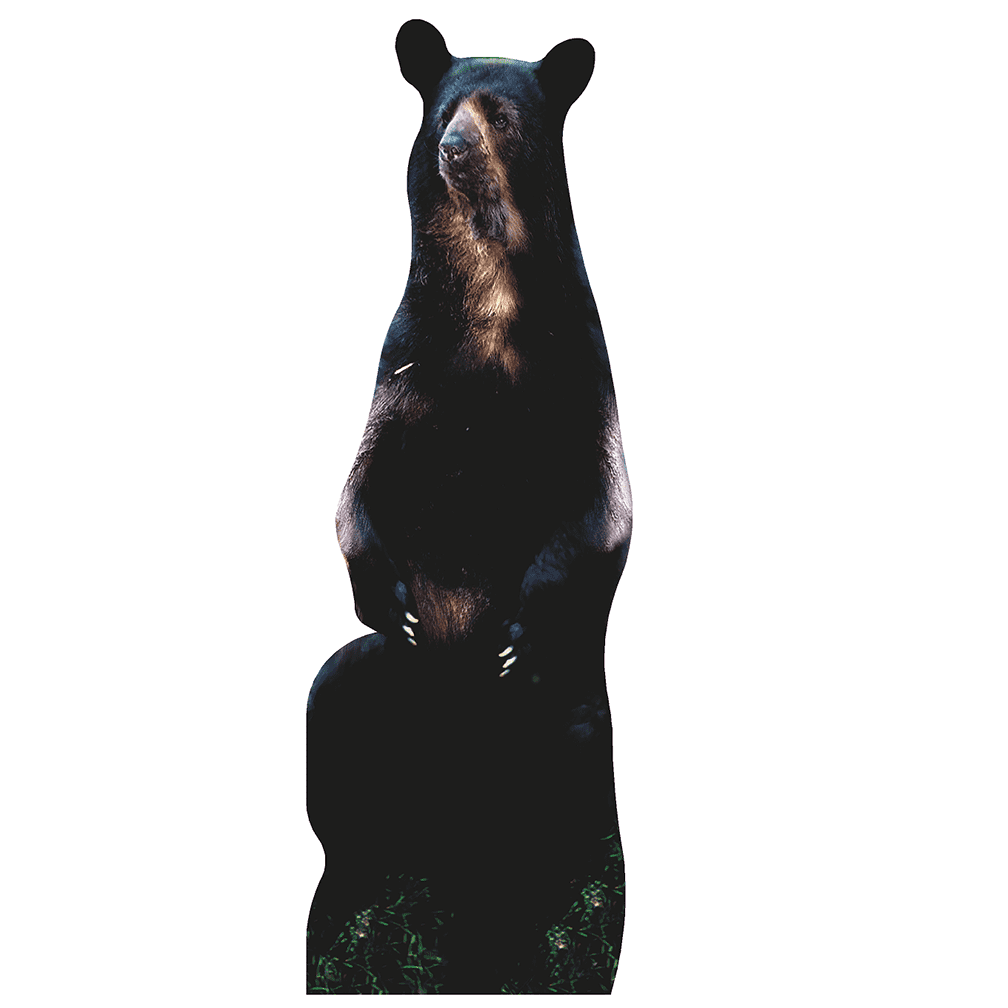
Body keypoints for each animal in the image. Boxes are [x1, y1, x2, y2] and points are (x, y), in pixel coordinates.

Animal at [307, 20, 632, 993]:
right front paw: (401, 603)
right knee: (337, 770)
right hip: (365, 693)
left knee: (564, 836)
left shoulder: (577, 382)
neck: (490, 295)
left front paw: (512, 637)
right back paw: (345, 924)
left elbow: (599, 510)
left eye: (507, 114)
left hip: (570, 725)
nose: (455, 146)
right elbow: (357, 487)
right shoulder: (406, 375)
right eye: (443, 106)